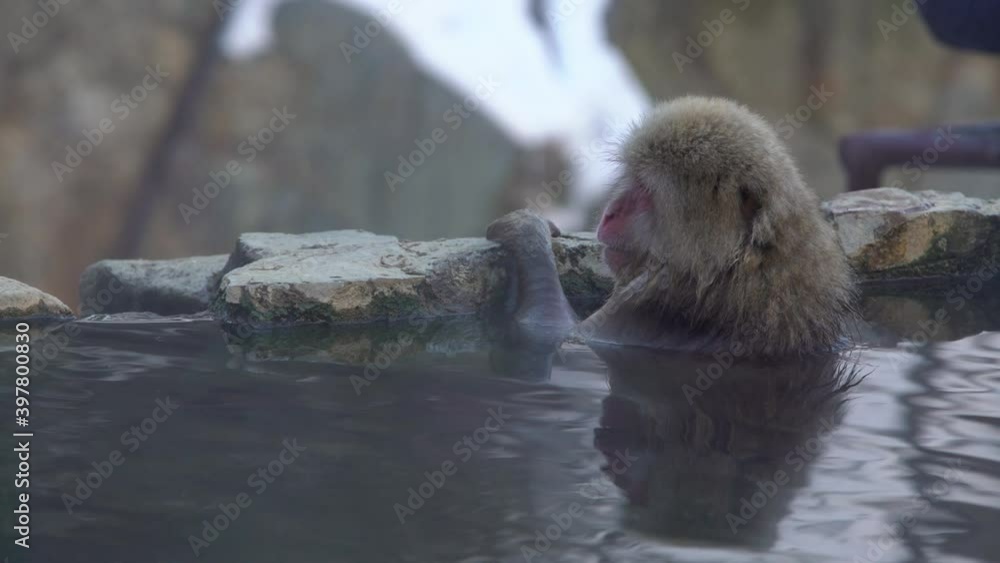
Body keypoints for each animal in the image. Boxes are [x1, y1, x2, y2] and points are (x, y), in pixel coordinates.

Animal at [487, 96, 856, 357]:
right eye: (632, 177)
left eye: (646, 190)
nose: (609, 213)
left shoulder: (642, 311)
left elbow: (549, 328)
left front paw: (526, 231)